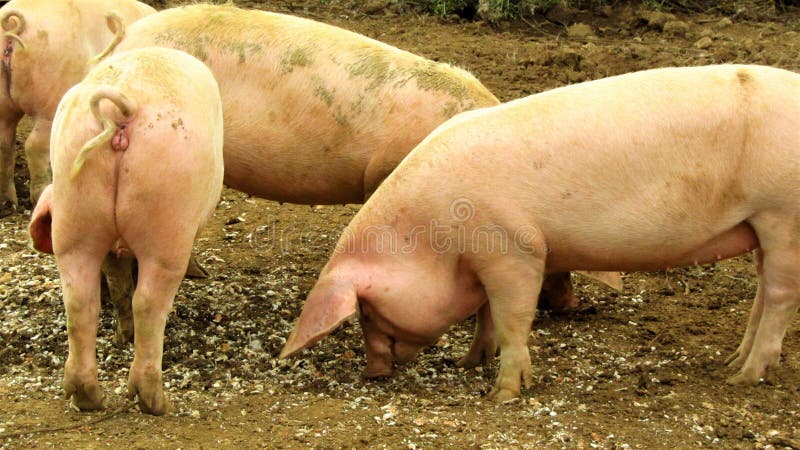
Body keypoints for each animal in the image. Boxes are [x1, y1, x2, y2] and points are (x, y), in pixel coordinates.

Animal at [0, 0, 155, 215]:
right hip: (51, 97)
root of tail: (11, 27)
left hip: (4, 105)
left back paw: (8, 203)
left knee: (5, 142)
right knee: (34, 146)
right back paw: (39, 195)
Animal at [29, 47, 224, 415]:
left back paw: (87, 396)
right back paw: (156, 402)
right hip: (167, 213)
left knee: (79, 302)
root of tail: (124, 107)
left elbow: (118, 281)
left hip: (75, 210)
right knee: (148, 303)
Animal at [281, 64, 800, 401]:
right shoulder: (484, 263)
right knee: (762, 290)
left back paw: (743, 379)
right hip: (759, 224)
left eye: (366, 310)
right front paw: (468, 363)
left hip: (782, 213)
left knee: (779, 296)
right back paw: (732, 362)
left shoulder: (516, 252)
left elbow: (512, 320)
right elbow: (485, 316)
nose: (372, 374)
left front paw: (502, 396)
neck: (429, 237)